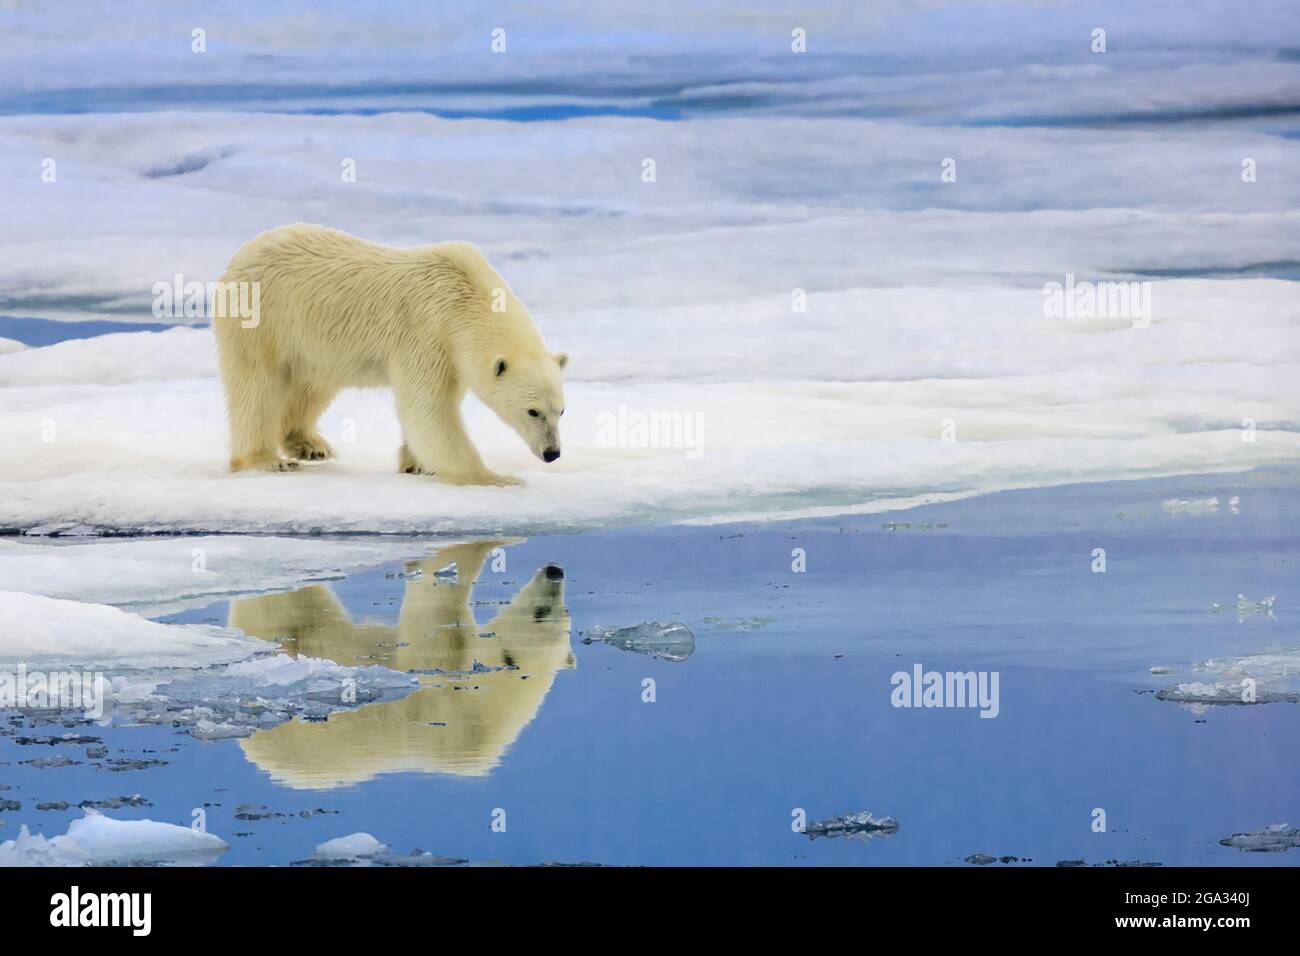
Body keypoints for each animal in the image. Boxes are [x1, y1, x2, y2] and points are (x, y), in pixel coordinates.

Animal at [213, 224, 568, 486]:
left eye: (561, 411)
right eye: (533, 411)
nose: (553, 453)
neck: (465, 295)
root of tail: (240, 255)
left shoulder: (453, 351)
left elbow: (438, 402)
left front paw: (416, 464)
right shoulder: (427, 331)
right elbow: (428, 408)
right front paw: (497, 478)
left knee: (313, 384)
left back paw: (310, 445)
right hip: (263, 320)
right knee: (257, 386)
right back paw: (267, 460)